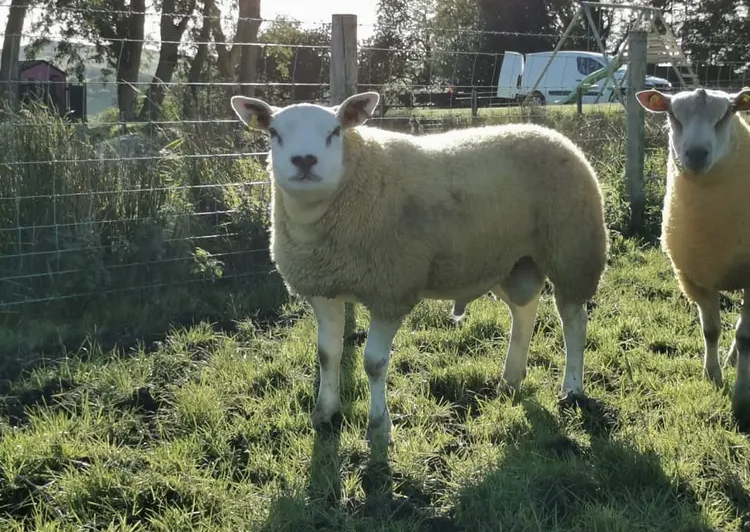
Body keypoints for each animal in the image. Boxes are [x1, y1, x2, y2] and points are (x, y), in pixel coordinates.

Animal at [229, 91, 609, 446]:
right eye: (274, 132)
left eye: (335, 131)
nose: (305, 161)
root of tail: (549, 132)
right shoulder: (322, 289)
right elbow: (327, 354)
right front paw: (324, 414)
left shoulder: (390, 289)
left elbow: (374, 363)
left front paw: (379, 427)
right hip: (510, 259)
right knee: (525, 311)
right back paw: (511, 379)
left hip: (573, 252)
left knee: (574, 320)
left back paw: (571, 389)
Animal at [635, 87, 750, 424]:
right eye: (672, 114)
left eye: (727, 113)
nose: (697, 155)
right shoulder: (695, 277)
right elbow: (711, 331)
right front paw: (712, 375)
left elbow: (746, 337)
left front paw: (742, 394)